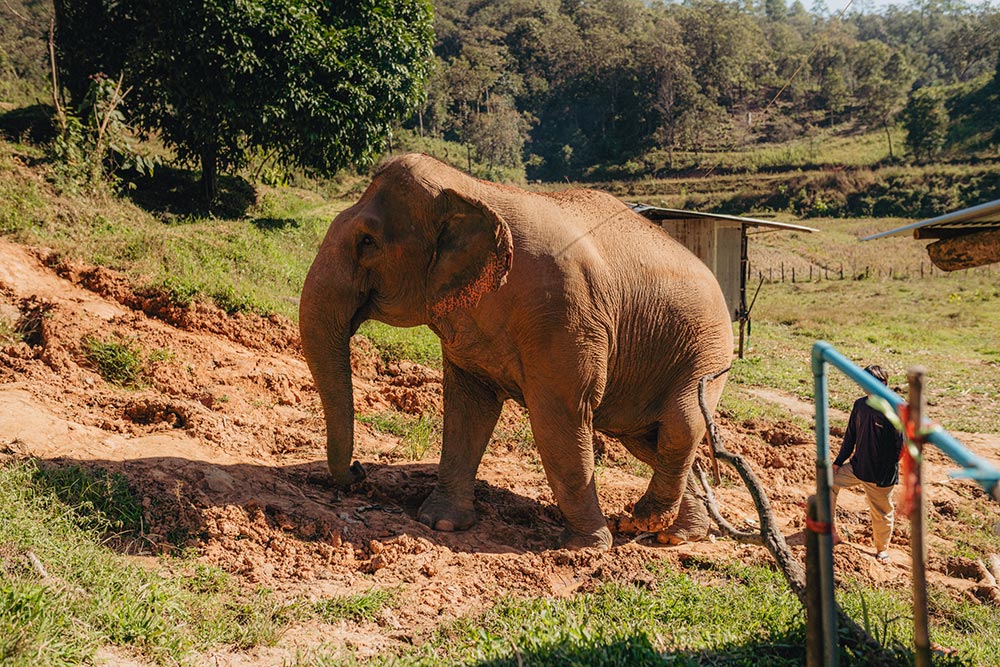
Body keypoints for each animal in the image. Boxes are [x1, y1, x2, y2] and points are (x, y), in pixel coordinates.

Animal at [299, 153, 733, 550]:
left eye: (367, 242)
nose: (360, 472)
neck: (476, 190)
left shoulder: (567, 314)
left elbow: (560, 417)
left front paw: (584, 548)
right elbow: (467, 409)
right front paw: (440, 523)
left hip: (707, 355)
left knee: (679, 427)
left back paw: (647, 521)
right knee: (651, 441)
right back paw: (673, 534)